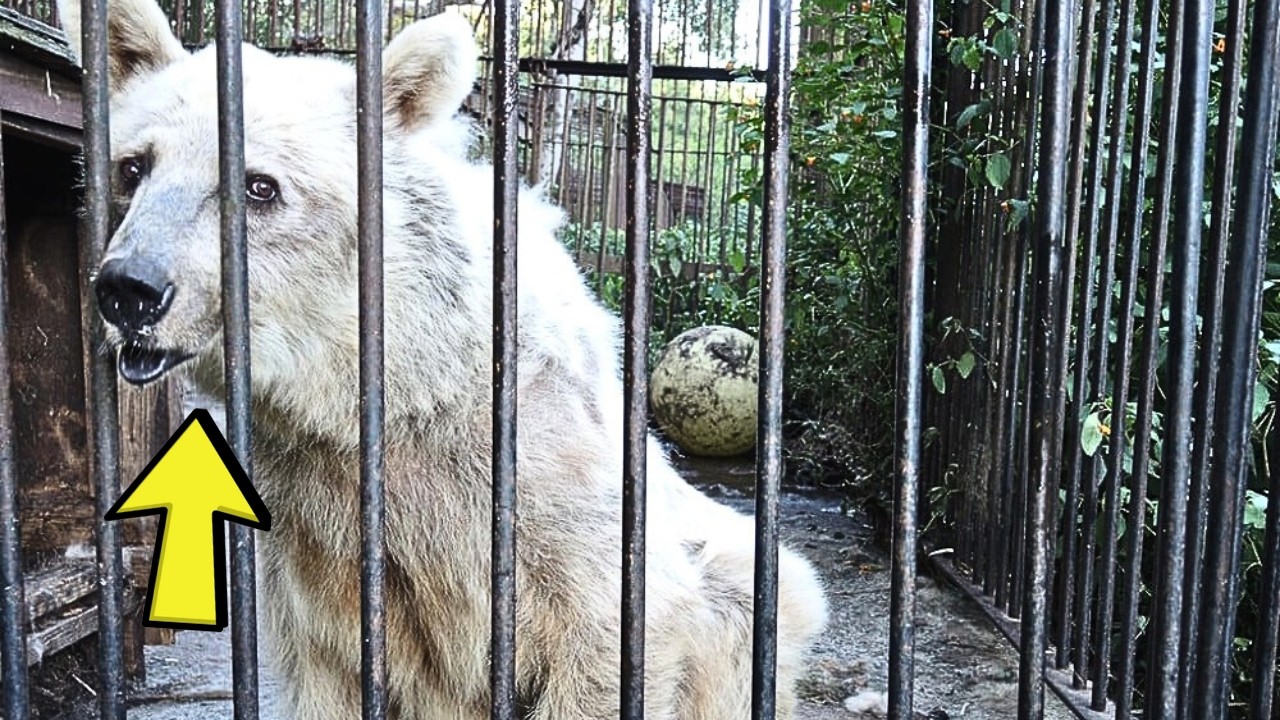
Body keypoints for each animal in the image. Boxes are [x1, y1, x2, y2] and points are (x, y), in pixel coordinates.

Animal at [55, 0, 829, 716]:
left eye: (259, 185)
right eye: (133, 166)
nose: (129, 289)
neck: (413, 383)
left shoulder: (551, 484)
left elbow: (611, 629)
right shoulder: (315, 520)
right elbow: (331, 662)